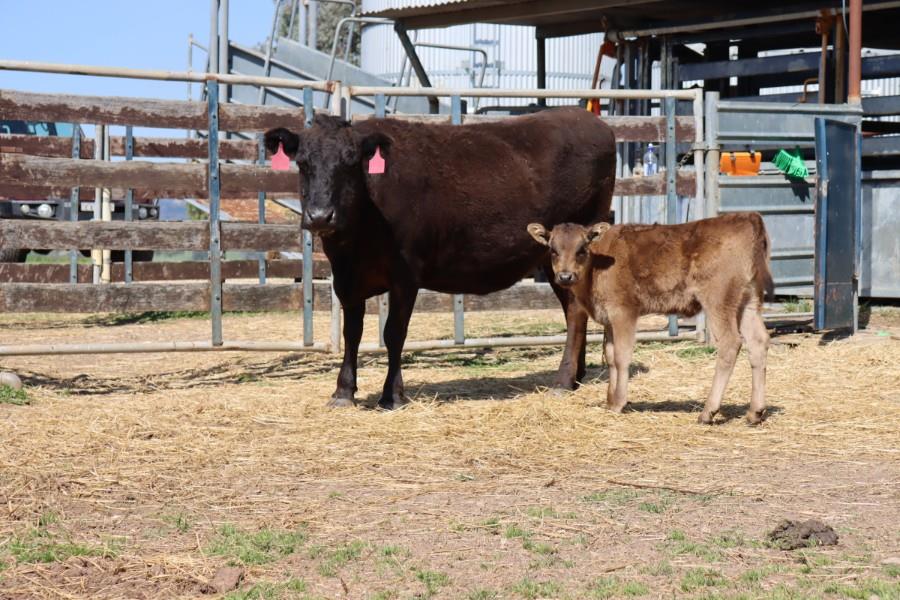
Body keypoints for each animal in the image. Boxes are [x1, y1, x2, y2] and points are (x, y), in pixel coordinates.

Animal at [265, 107, 616, 409]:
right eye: (303, 163)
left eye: (351, 163)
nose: (320, 216)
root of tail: (587, 118)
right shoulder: (346, 278)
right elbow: (352, 333)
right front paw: (343, 391)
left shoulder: (405, 275)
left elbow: (393, 333)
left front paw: (392, 395)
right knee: (574, 311)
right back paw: (575, 377)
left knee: (575, 312)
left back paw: (563, 380)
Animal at [527, 212, 772, 424]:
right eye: (552, 250)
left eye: (581, 249)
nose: (565, 276)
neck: (597, 264)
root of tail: (747, 217)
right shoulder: (608, 319)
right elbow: (610, 356)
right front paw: (610, 401)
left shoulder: (623, 312)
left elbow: (621, 356)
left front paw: (619, 403)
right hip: (748, 302)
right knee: (758, 341)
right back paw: (755, 413)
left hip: (718, 301)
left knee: (730, 343)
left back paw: (707, 412)